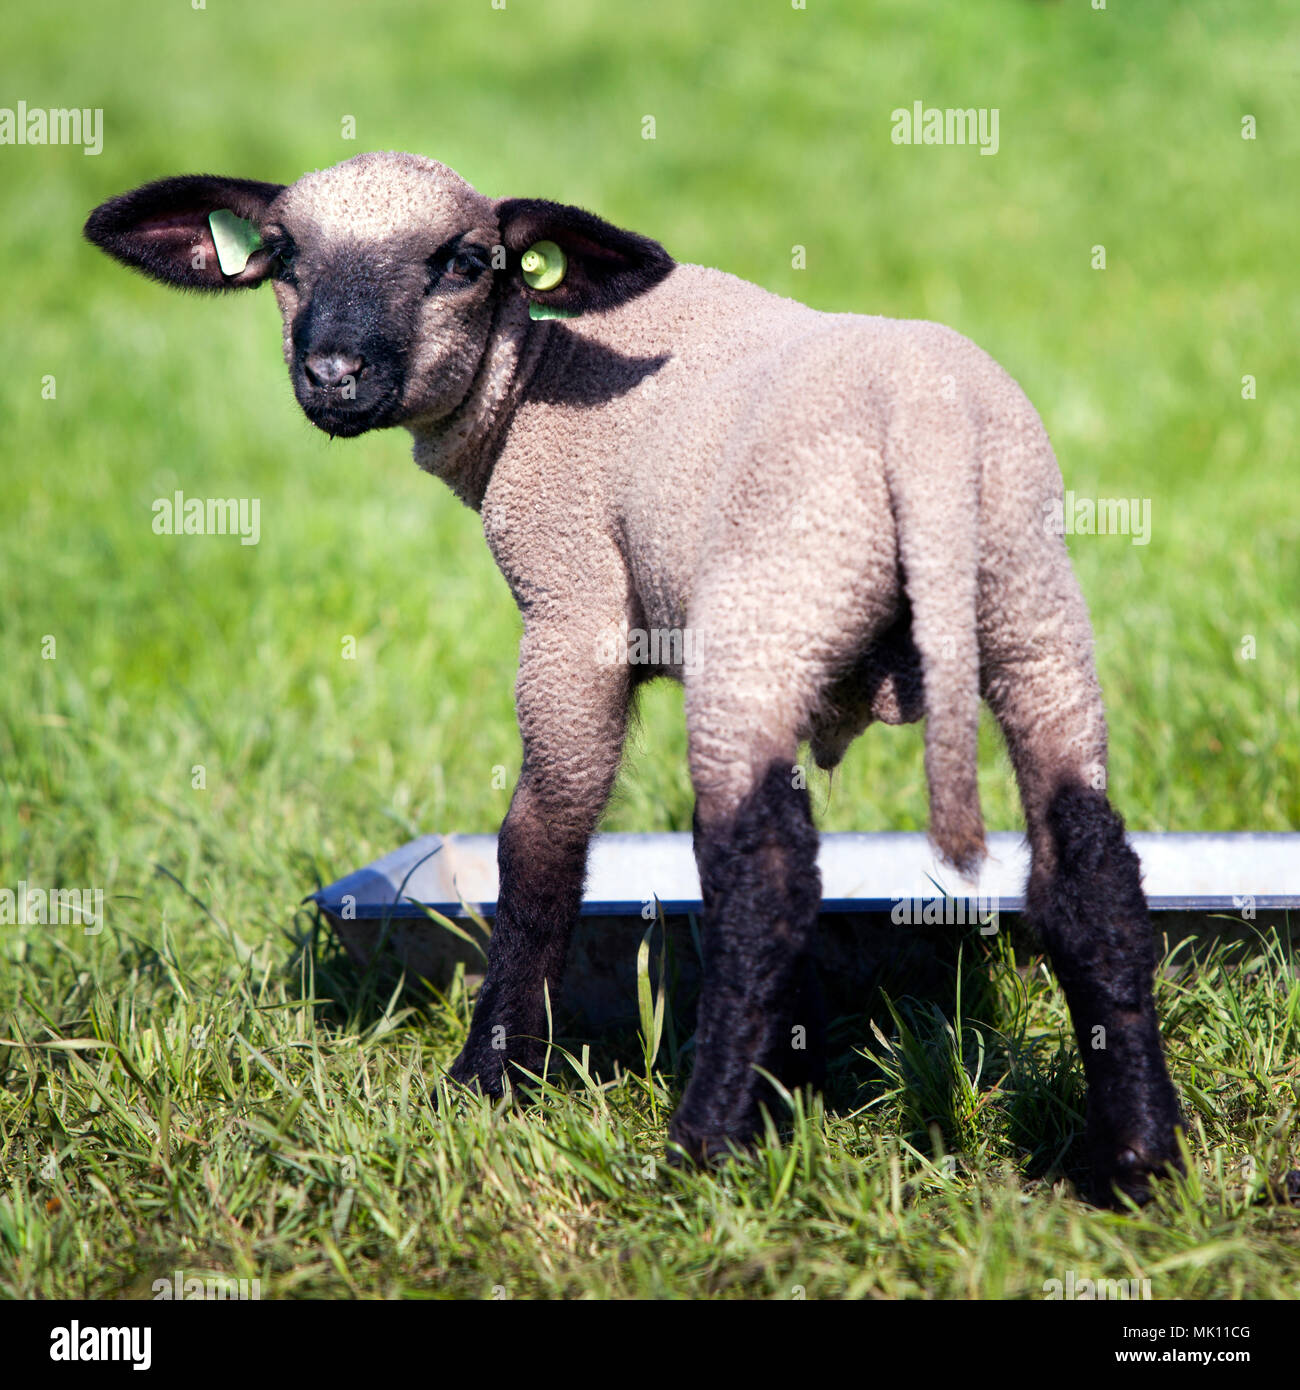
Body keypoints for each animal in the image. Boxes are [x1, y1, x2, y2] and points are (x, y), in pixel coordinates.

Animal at [85, 151, 1183, 1204]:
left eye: (464, 262)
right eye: (283, 256)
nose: (334, 372)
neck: (537, 380)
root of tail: (928, 434)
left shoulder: (572, 608)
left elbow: (541, 844)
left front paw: (490, 1079)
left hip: (772, 614)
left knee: (763, 878)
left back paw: (702, 1146)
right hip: (1029, 606)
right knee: (1088, 870)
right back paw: (1134, 1162)